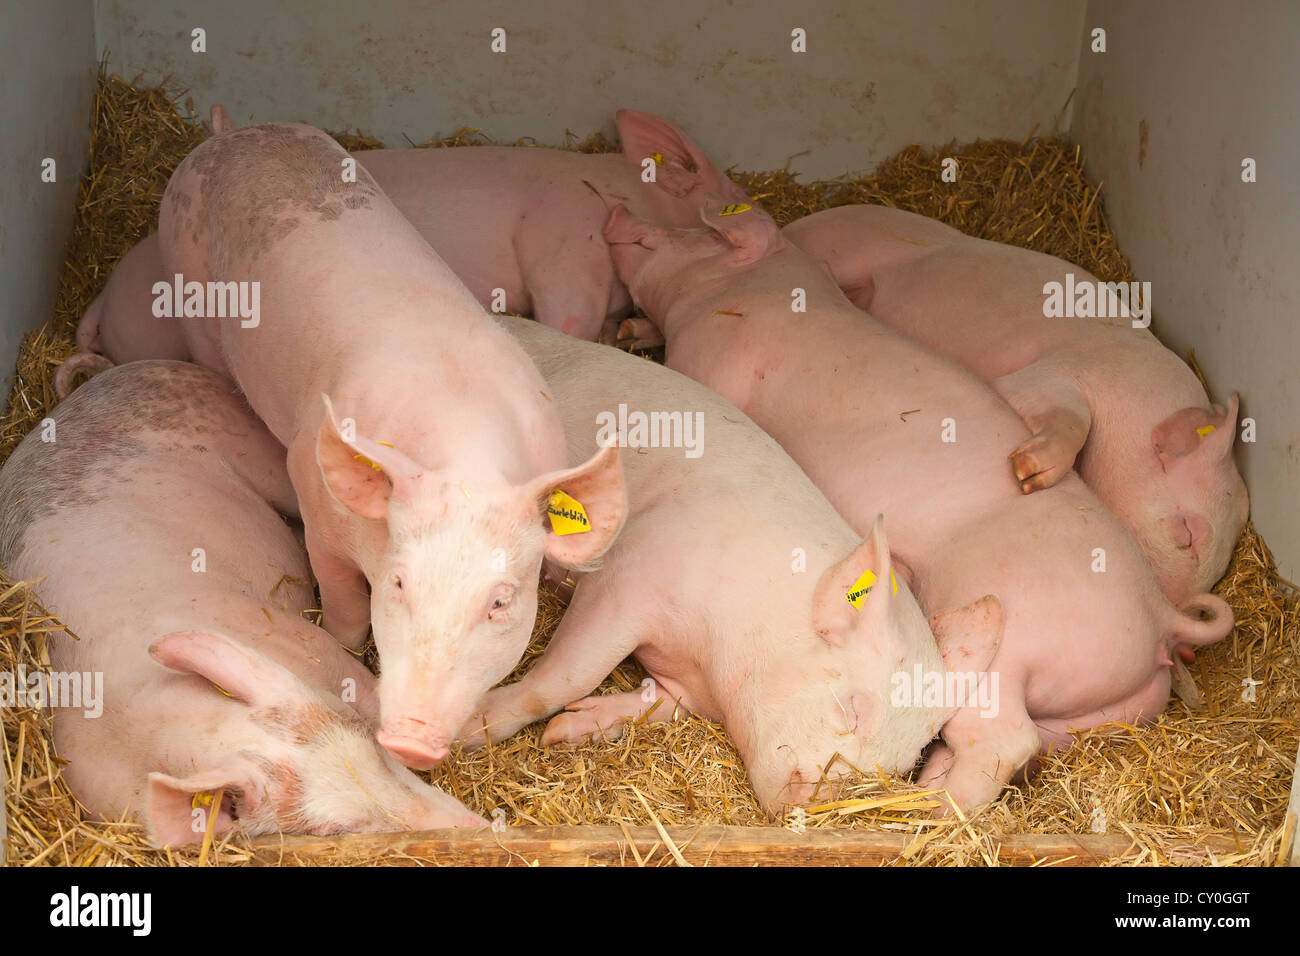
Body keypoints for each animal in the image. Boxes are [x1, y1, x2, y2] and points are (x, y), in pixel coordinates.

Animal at [156, 122, 626, 771]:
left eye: (500, 602)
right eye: (400, 582)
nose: (410, 739)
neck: (466, 451)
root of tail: (238, 133)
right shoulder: (315, 503)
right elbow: (347, 611)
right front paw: (347, 645)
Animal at [456, 316, 1002, 813]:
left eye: (904, 763)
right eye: (853, 709)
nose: (815, 806)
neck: (711, 669)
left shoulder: (683, 688)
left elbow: (651, 704)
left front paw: (566, 729)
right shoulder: (631, 572)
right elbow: (566, 676)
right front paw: (472, 728)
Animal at [782, 204, 1248, 605]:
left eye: (1218, 570)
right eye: (1186, 535)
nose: (1187, 647)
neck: (1134, 396)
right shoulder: (1055, 375)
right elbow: (1069, 417)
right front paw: (1028, 474)